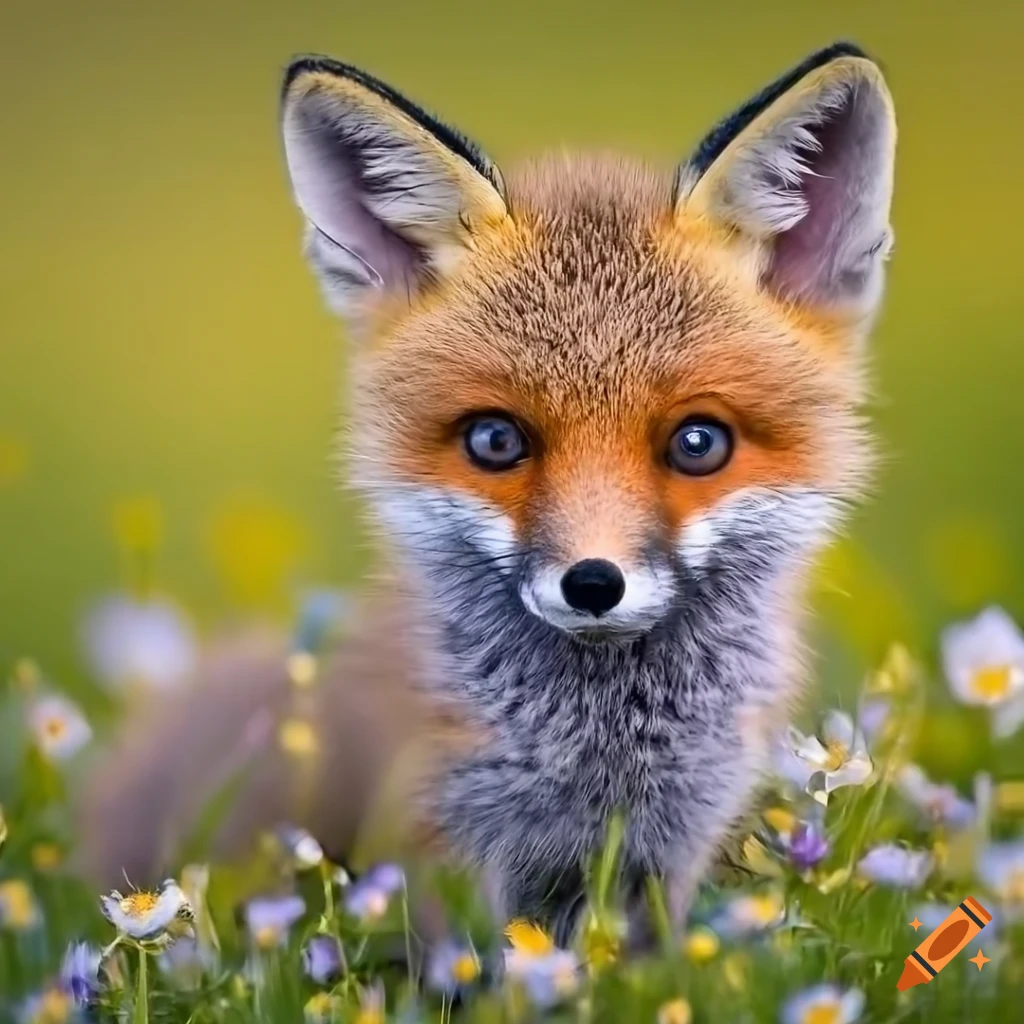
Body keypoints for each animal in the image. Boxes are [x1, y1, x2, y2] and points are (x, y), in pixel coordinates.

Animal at [77, 41, 897, 944]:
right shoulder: (445, 853)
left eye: (698, 442)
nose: (594, 584)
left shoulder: (672, 848)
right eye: (496, 440)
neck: (599, 751)